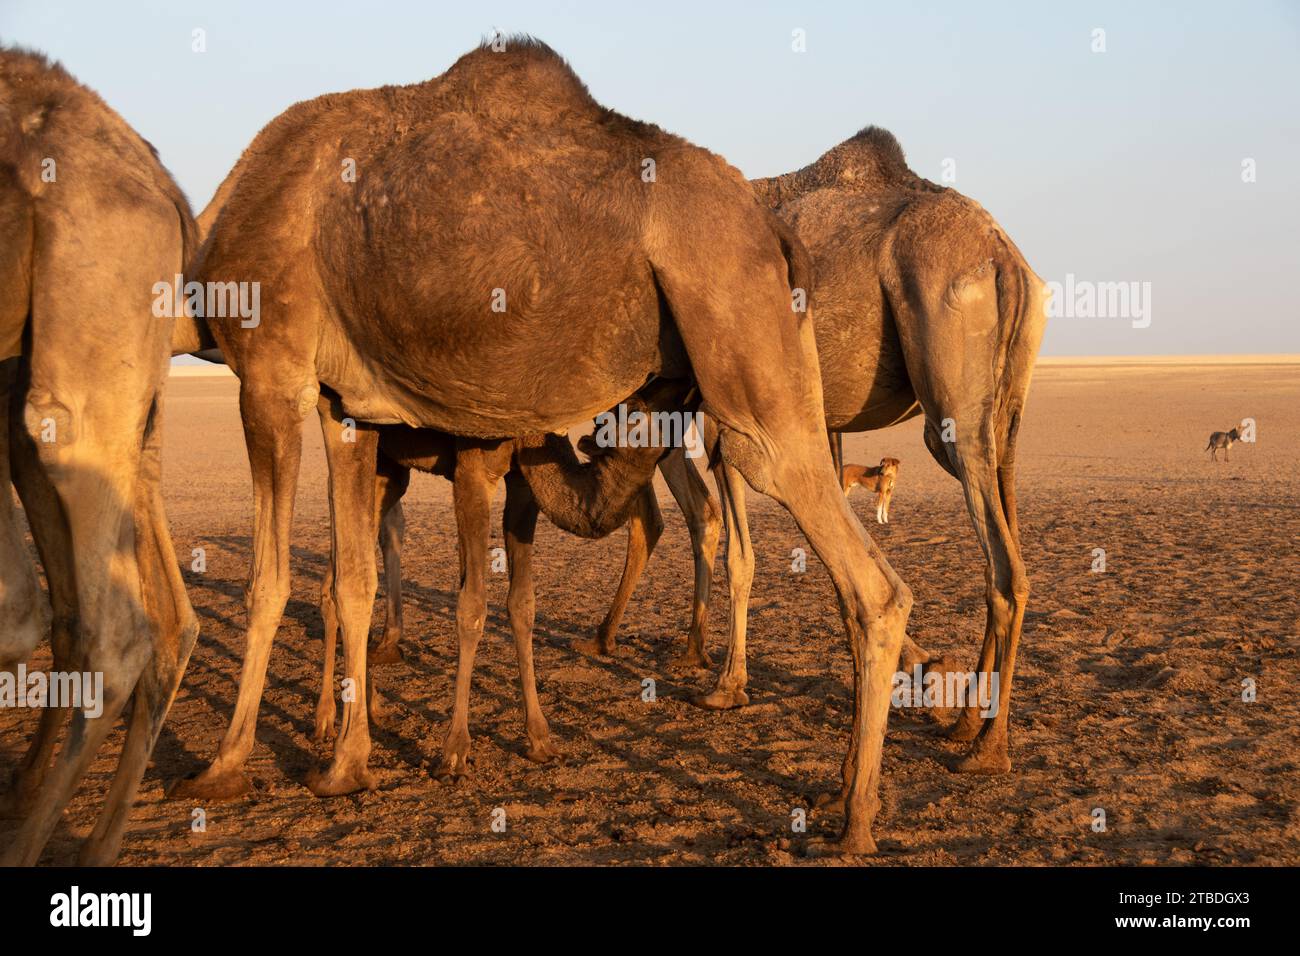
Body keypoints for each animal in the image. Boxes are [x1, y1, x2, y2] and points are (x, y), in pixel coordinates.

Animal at [170, 38, 909, 854]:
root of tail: (776, 232)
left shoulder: (270, 371)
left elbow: (268, 581)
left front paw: (222, 768)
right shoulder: (345, 406)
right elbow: (349, 581)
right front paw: (346, 766)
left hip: (742, 335)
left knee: (864, 576)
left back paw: (856, 818)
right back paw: (844, 786)